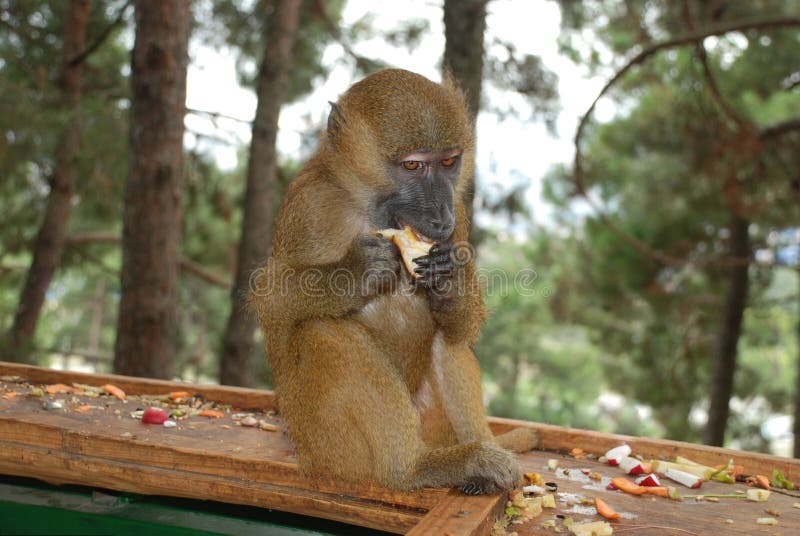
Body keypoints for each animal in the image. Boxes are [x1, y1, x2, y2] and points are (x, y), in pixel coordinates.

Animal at [252, 68, 538, 495]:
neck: (369, 210)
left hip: (430, 422)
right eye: (412, 166)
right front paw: (353, 274)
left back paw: (472, 458)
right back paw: (411, 470)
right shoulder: (311, 206)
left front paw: (449, 281)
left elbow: (461, 328)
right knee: (325, 332)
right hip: (329, 450)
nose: (440, 216)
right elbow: (273, 306)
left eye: (449, 162)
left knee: (446, 340)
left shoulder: (460, 214)